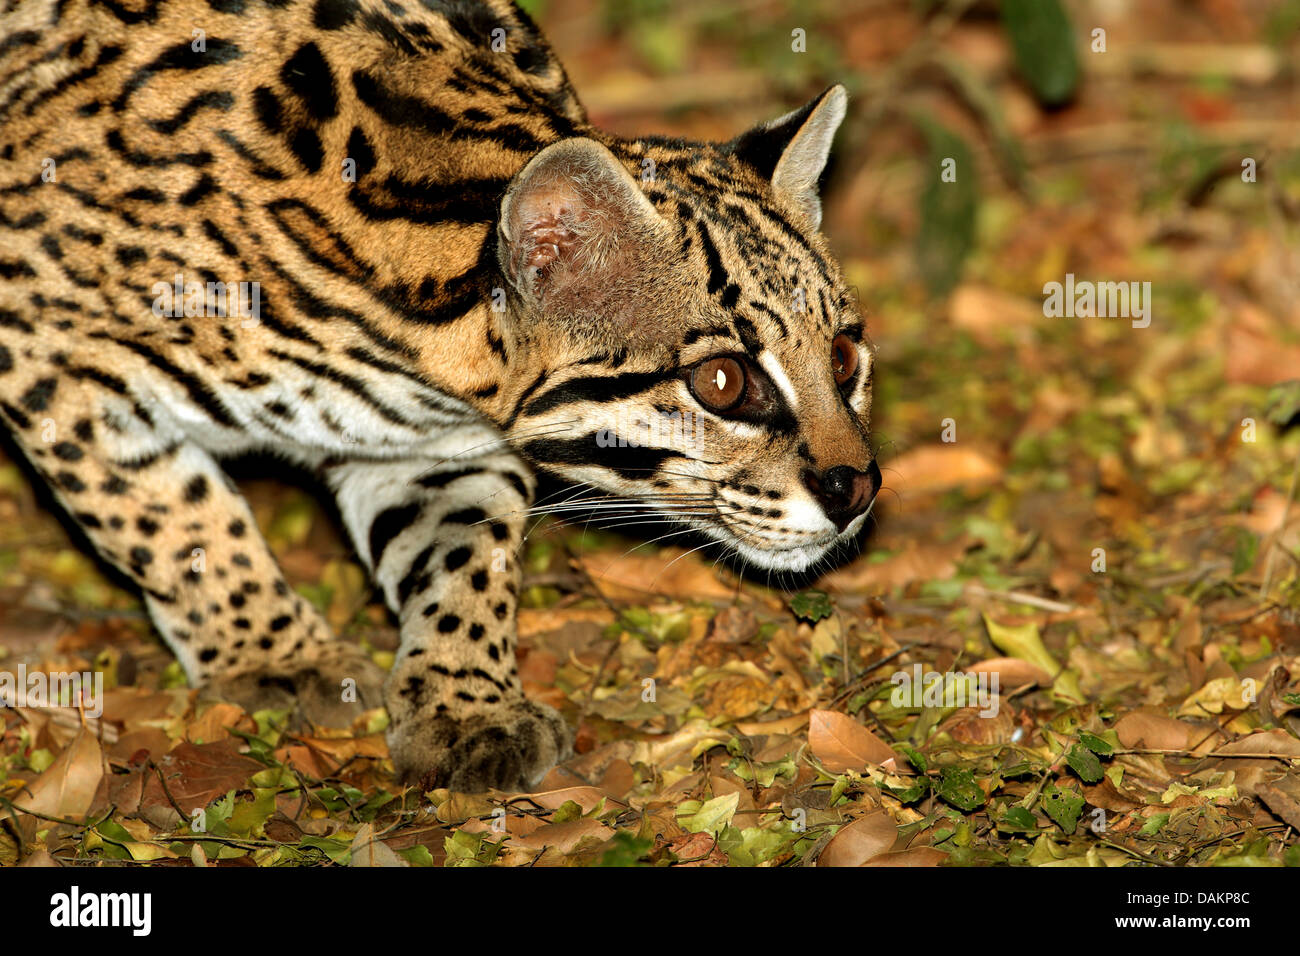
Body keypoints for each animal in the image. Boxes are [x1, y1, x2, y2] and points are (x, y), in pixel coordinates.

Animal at [0, 0, 880, 792]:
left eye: (844, 357)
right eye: (722, 383)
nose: (857, 488)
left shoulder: (430, 444)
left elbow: (467, 559)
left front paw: (465, 705)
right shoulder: (45, 353)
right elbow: (177, 521)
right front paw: (277, 655)